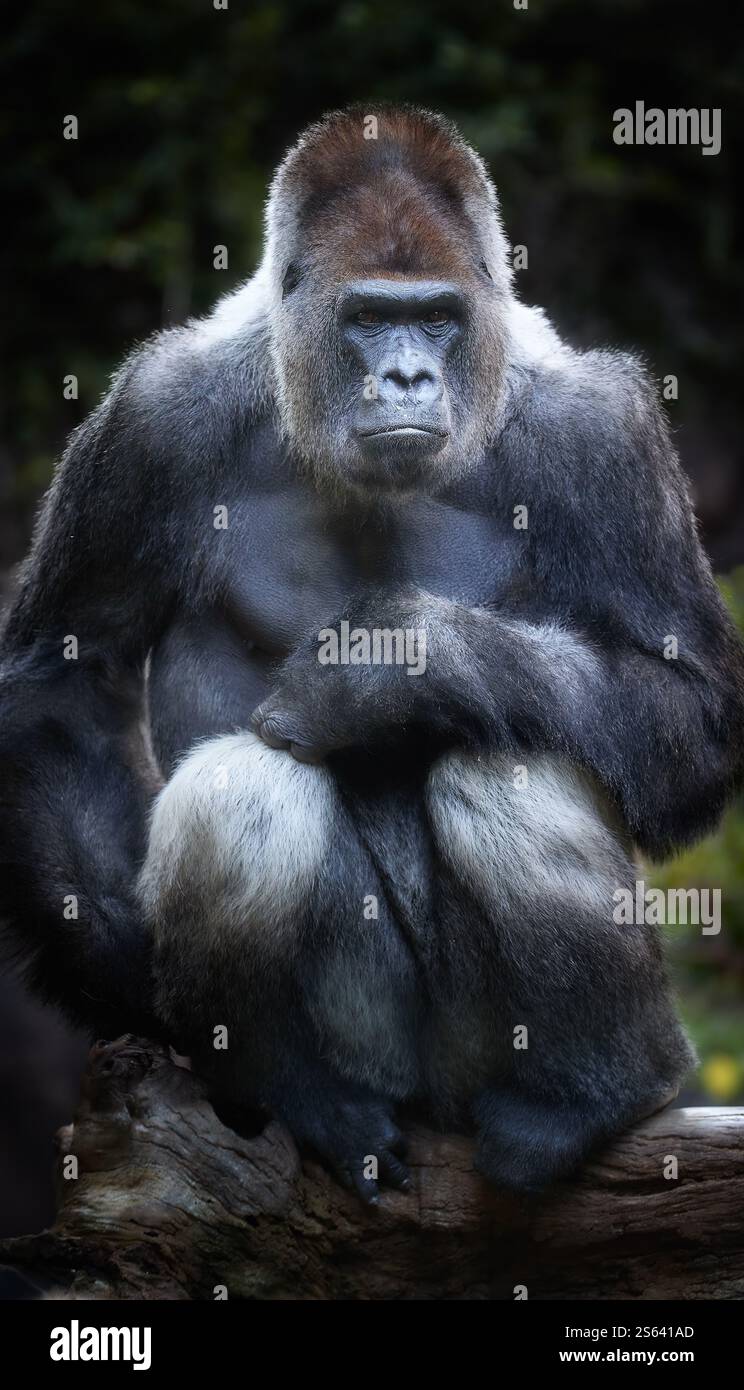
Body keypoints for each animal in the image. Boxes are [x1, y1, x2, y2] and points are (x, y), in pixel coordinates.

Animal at [2, 106, 743, 1204]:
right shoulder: (153, 413)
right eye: (366, 319)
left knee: (512, 756)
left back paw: (596, 1090)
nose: (406, 376)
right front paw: (136, 978)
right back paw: (302, 1089)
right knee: (242, 793)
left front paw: (394, 668)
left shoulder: (602, 427)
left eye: (435, 319)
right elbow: (60, 683)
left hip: (478, 1065)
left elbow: (690, 707)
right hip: (386, 1061)